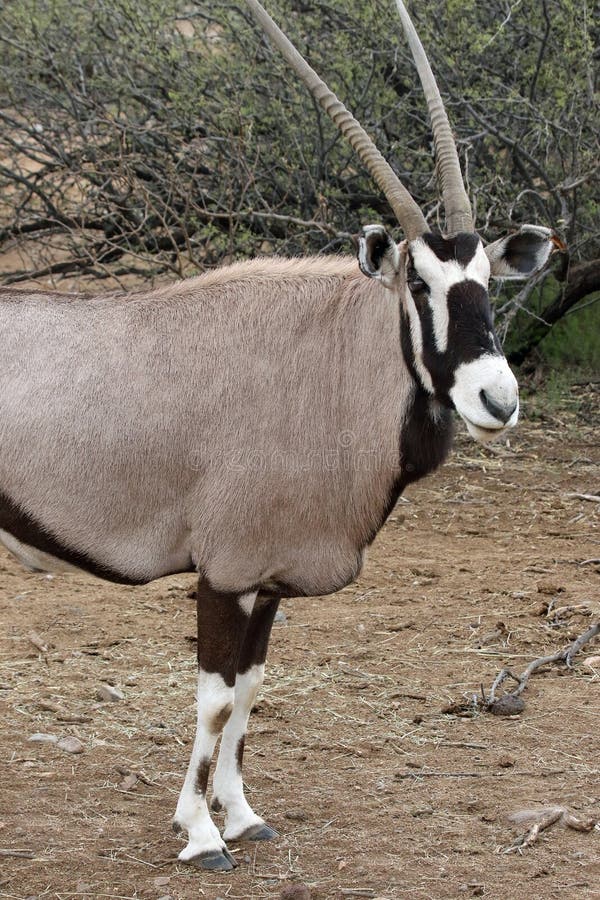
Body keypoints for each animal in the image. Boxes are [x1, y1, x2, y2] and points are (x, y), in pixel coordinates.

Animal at [0, 0, 560, 871]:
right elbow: (214, 698)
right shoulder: (224, 573)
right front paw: (199, 835)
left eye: (486, 283)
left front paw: (240, 815)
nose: (495, 399)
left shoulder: (265, 581)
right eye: (419, 283)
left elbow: (251, 692)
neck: (325, 352)